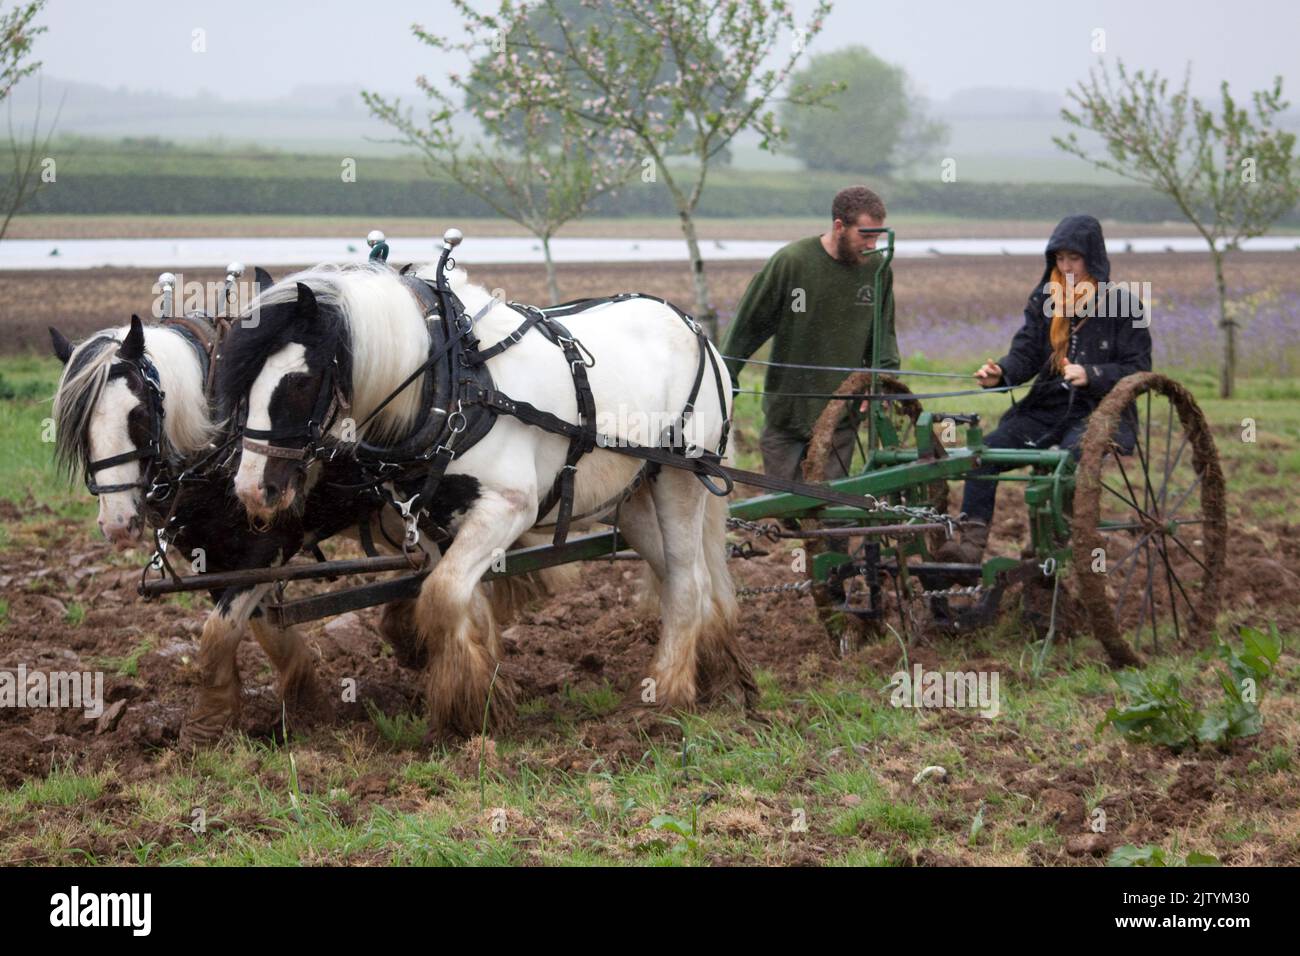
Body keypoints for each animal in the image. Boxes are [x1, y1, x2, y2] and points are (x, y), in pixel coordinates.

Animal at [216, 261, 755, 737]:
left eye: (299, 380)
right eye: (240, 378)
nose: (251, 489)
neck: (451, 384)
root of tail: (692, 326)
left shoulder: (507, 507)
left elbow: (440, 596)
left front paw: (464, 710)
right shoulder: (433, 522)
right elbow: (462, 604)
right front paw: (480, 703)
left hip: (680, 477)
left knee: (686, 581)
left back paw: (665, 694)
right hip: (634, 494)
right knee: (689, 578)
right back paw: (718, 671)